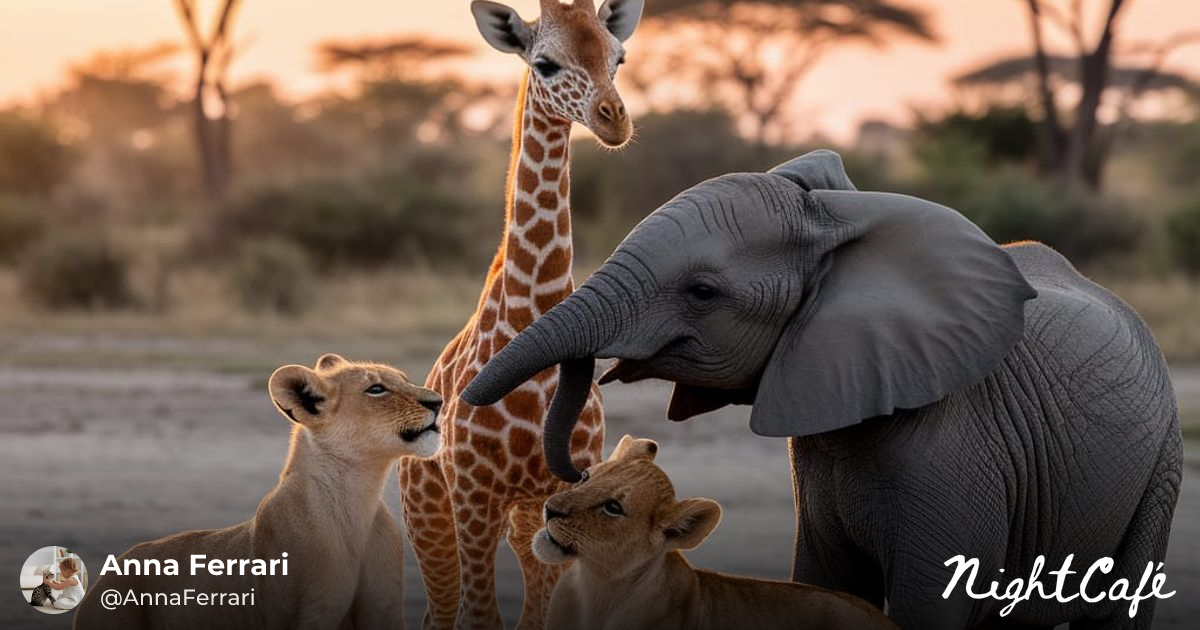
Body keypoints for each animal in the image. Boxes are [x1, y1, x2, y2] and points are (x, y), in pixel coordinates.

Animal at [73, 354, 442, 630]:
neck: (358, 499)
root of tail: (104, 577)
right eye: (376, 389)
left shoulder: (384, 610)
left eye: (404, 378)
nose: (438, 400)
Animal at [398, 2, 644, 629]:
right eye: (545, 63)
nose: (614, 120)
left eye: (618, 58)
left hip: (521, 519)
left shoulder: (556, 492)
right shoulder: (473, 495)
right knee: (441, 611)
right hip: (427, 514)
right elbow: (479, 616)